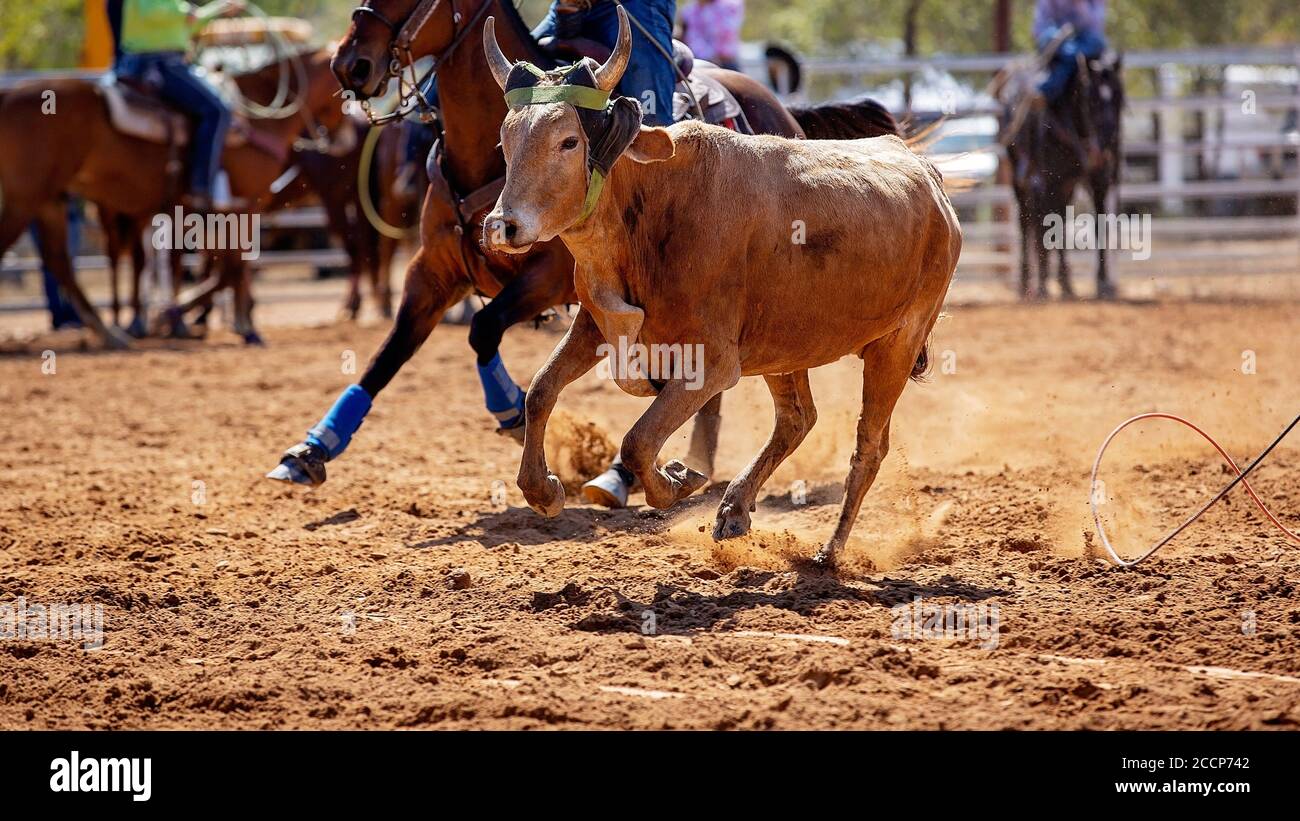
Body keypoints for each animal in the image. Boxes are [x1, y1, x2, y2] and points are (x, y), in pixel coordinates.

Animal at [480, 8, 962, 566]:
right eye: (505, 141)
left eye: (569, 141)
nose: (502, 226)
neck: (653, 211)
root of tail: (925, 172)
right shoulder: (594, 326)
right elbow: (540, 391)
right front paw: (542, 490)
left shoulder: (711, 364)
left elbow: (639, 441)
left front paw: (678, 479)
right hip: (783, 347)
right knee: (797, 420)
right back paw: (735, 509)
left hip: (897, 345)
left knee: (870, 445)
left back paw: (831, 550)